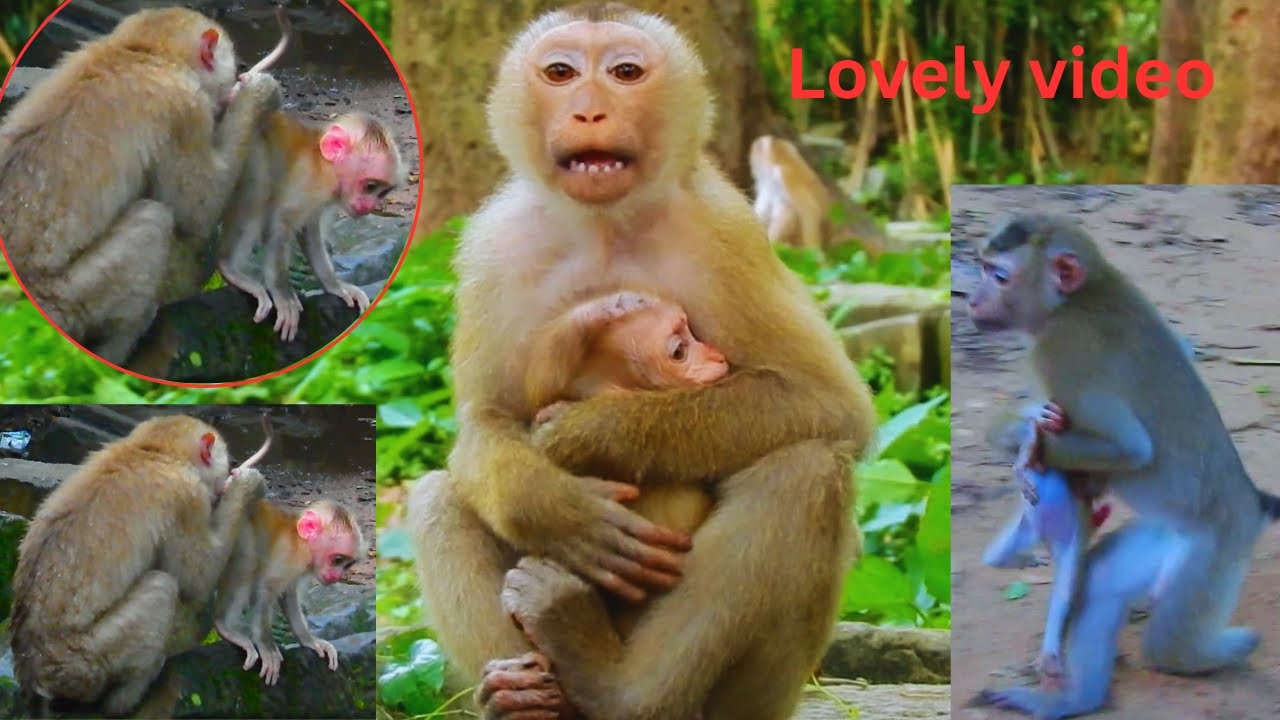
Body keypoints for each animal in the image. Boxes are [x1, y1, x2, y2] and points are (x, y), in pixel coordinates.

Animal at [0, 7, 282, 364]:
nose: (237, 76)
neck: (145, 54)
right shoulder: (186, 107)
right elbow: (198, 210)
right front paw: (258, 97)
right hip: (69, 300)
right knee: (152, 223)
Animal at [10, 415, 264, 716]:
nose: (228, 473)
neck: (153, 452)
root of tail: (31, 672)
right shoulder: (188, 497)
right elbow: (198, 579)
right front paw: (247, 488)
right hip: (83, 664)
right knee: (161, 590)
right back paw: (129, 699)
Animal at [216, 14, 405, 342]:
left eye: (381, 192)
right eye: (369, 185)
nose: (369, 206)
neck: (325, 166)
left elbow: (310, 231)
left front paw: (335, 285)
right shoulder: (310, 184)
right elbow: (279, 222)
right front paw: (284, 294)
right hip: (248, 152)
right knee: (258, 192)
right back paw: (231, 268)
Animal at [965, 214, 1280, 719]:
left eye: (998, 275)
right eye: (981, 267)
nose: (972, 299)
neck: (1079, 296)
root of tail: (1250, 502)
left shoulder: (1061, 349)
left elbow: (1132, 448)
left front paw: (1029, 447)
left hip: (1218, 548)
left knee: (1170, 646)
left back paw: (1235, 646)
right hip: (1166, 541)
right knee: (1101, 582)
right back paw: (1074, 699)